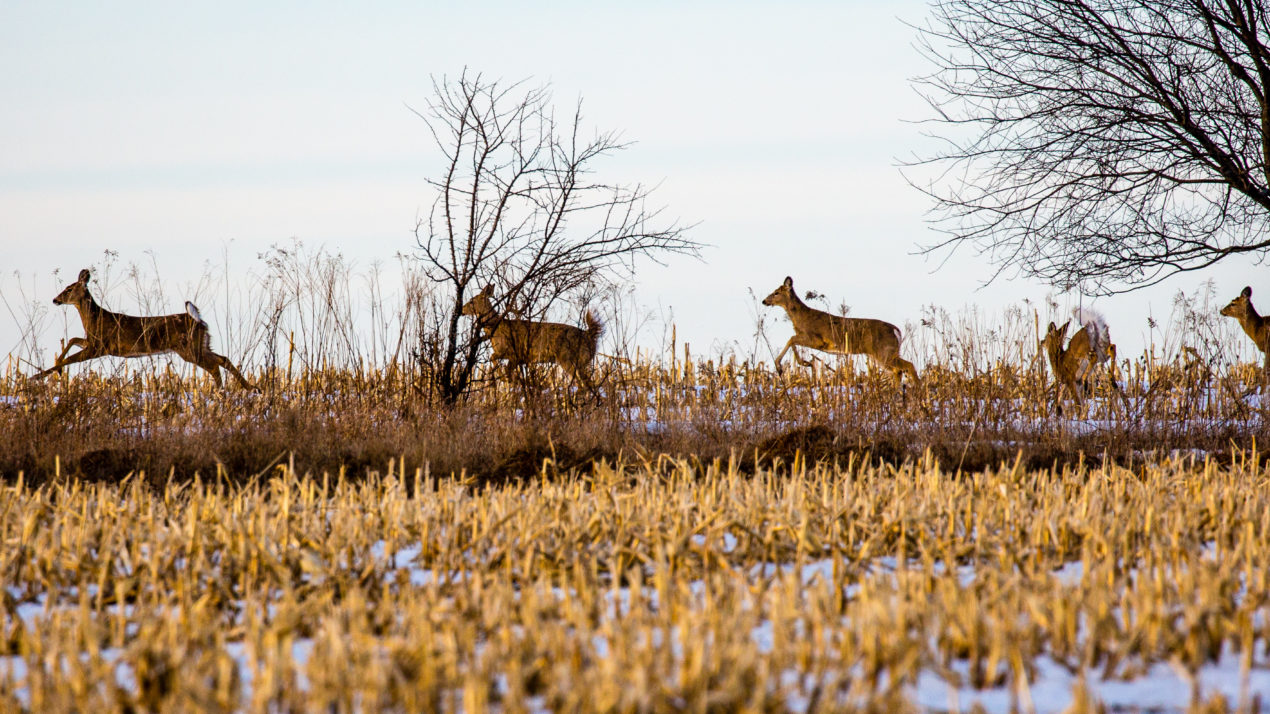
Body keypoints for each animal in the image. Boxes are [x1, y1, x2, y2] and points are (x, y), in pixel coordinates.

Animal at [31, 269, 253, 389]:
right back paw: (251, 388)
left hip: (188, 348)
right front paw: (54, 368)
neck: (96, 319)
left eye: (69, 289)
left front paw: (39, 376)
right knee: (223, 359)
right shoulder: (93, 341)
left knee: (214, 365)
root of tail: (198, 321)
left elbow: (71, 357)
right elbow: (72, 340)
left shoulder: (100, 347)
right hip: (201, 344)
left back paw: (222, 391)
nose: (55, 299)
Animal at [460, 284, 604, 392]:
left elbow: (496, 361)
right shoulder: (515, 356)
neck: (495, 328)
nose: (461, 310)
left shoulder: (513, 353)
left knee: (584, 384)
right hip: (580, 361)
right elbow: (497, 361)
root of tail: (589, 335)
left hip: (568, 358)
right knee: (587, 384)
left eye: (472, 301)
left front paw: (510, 379)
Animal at [760, 276, 920, 387]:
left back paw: (917, 389)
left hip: (884, 351)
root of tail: (897, 331)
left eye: (776, 293)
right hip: (884, 352)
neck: (801, 319)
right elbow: (792, 340)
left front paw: (781, 366)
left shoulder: (817, 340)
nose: (764, 301)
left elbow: (791, 339)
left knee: (907, 366)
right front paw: (804, 363)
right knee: (898, 370)